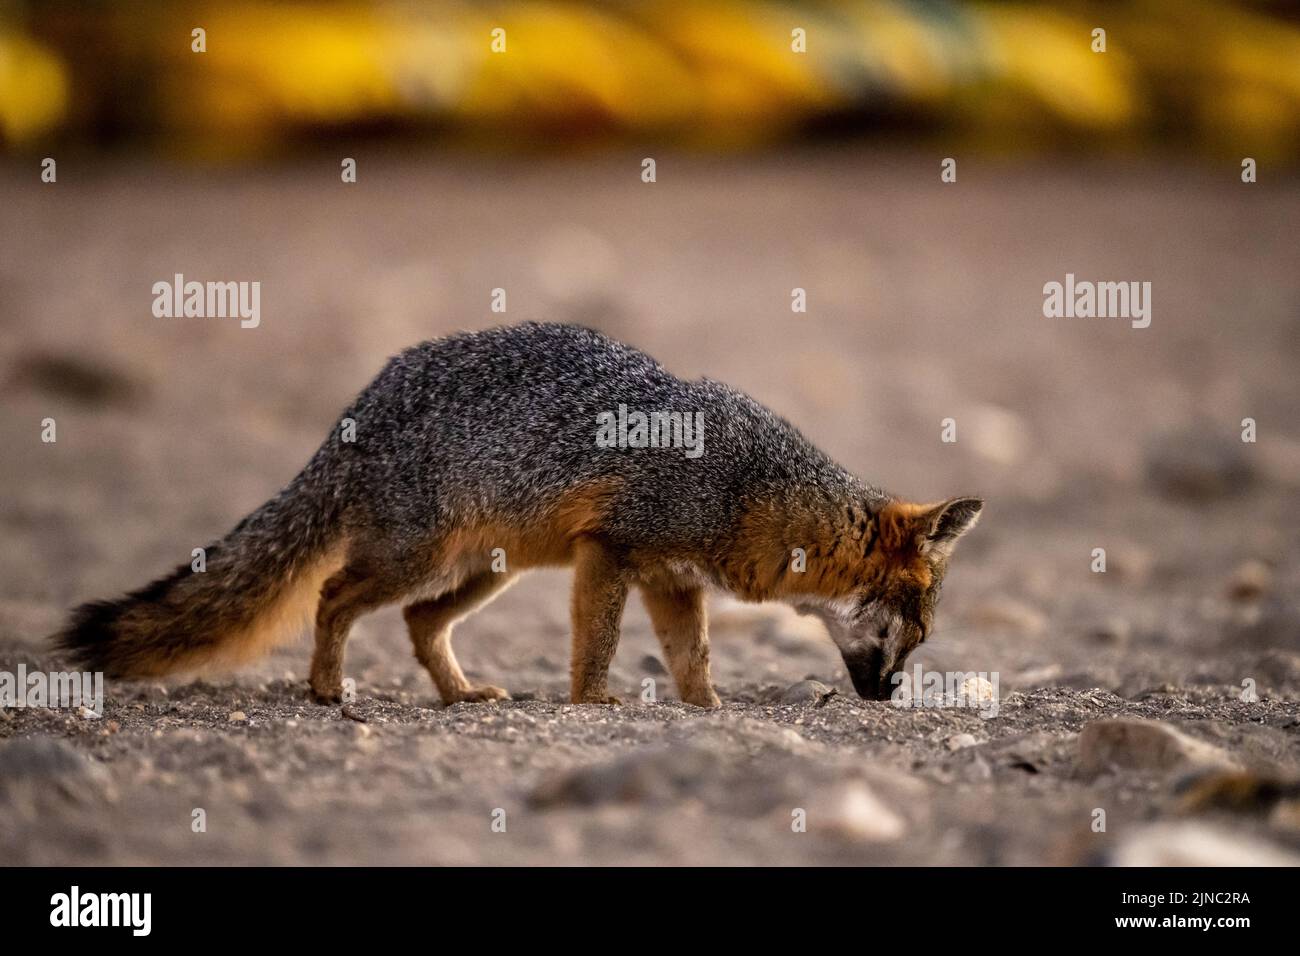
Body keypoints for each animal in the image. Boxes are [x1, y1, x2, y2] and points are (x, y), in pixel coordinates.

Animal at [55, 322, 982, 707]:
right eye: (910, 636)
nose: (889, 697)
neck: (750, 481)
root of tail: (362, 402)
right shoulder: (611, 552)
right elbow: (598, 642)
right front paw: (595, 703)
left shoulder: (673, 580)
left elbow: (693, 656)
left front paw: (707, 710)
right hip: (414, 559)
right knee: (332, 598)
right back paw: (325, 689)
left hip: (484, 575)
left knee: (421, 622)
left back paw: (460, 695)